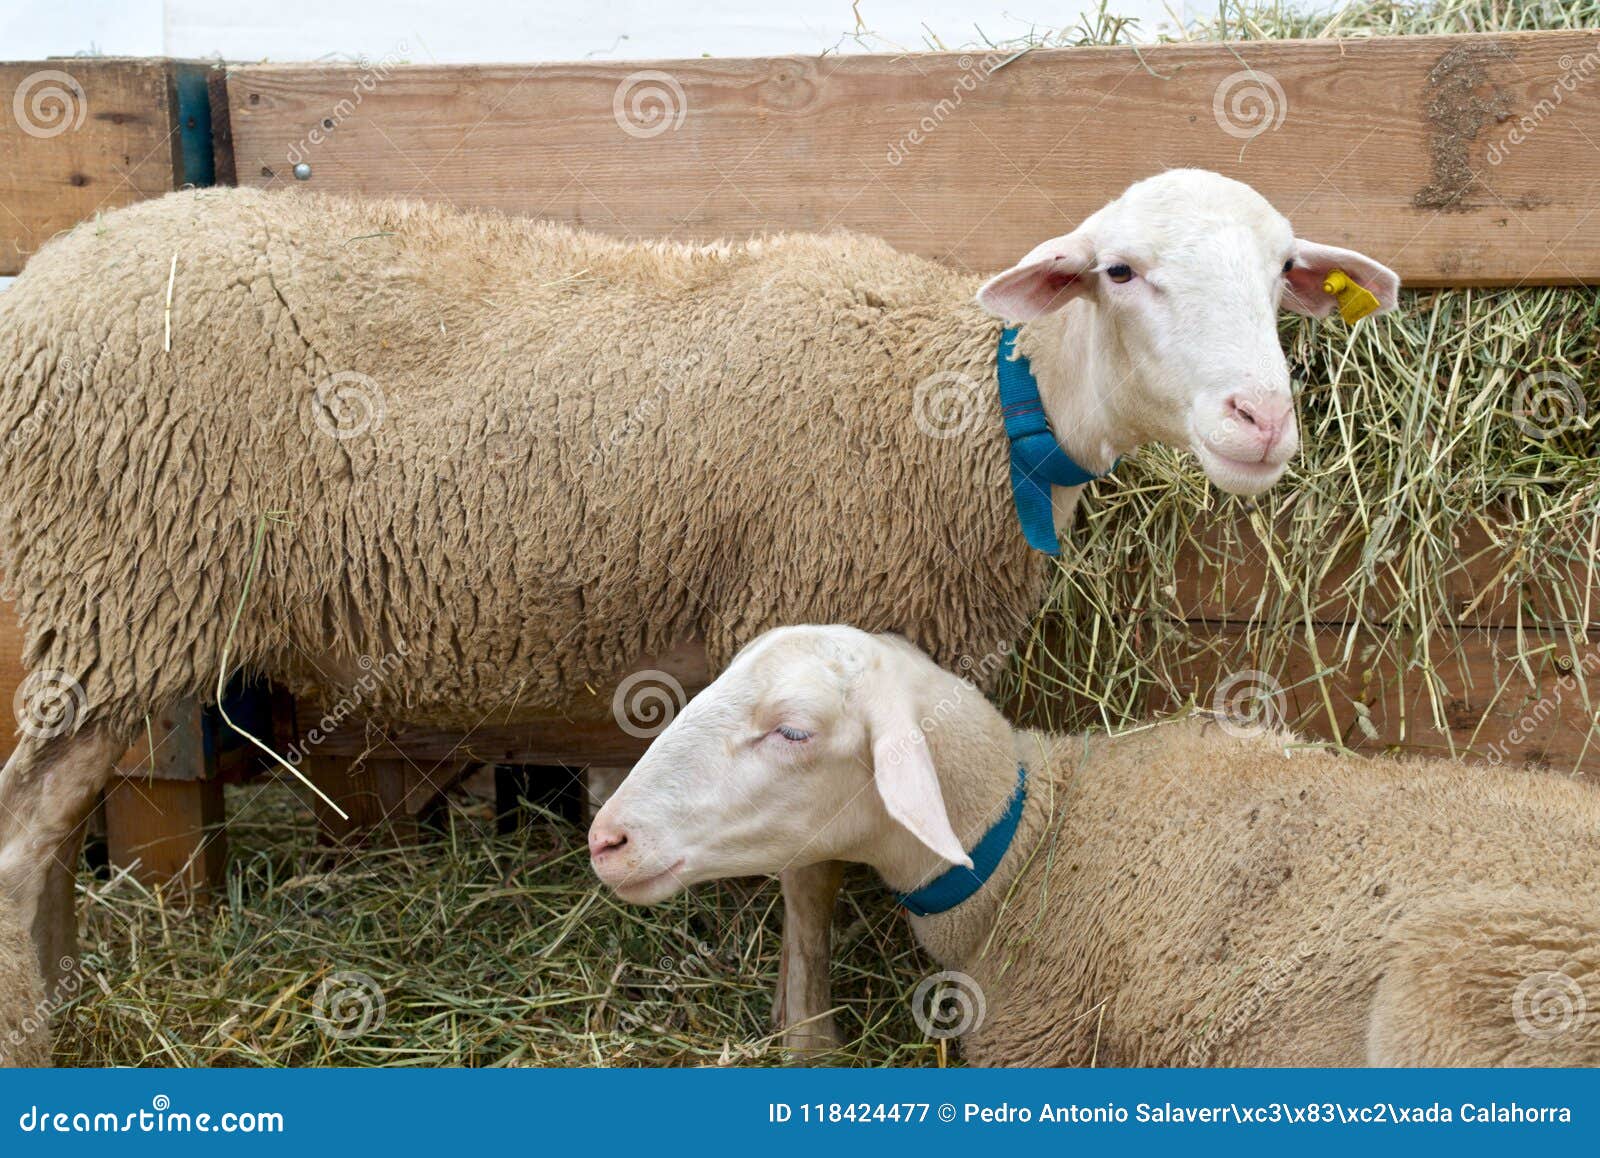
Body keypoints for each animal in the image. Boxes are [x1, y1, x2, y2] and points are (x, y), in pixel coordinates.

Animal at [0, 169, 1398, 1048]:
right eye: (1120, 270)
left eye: (1282, 272)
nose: (1260, 421)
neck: (989, 401)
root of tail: (41, 284)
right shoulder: (821, 594)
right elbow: (812, 874)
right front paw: (809, 1039)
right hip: (118, 578)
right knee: (24, 835)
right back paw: (35, 1032)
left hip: (103, 605)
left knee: (50, 827)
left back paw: (65, 991)